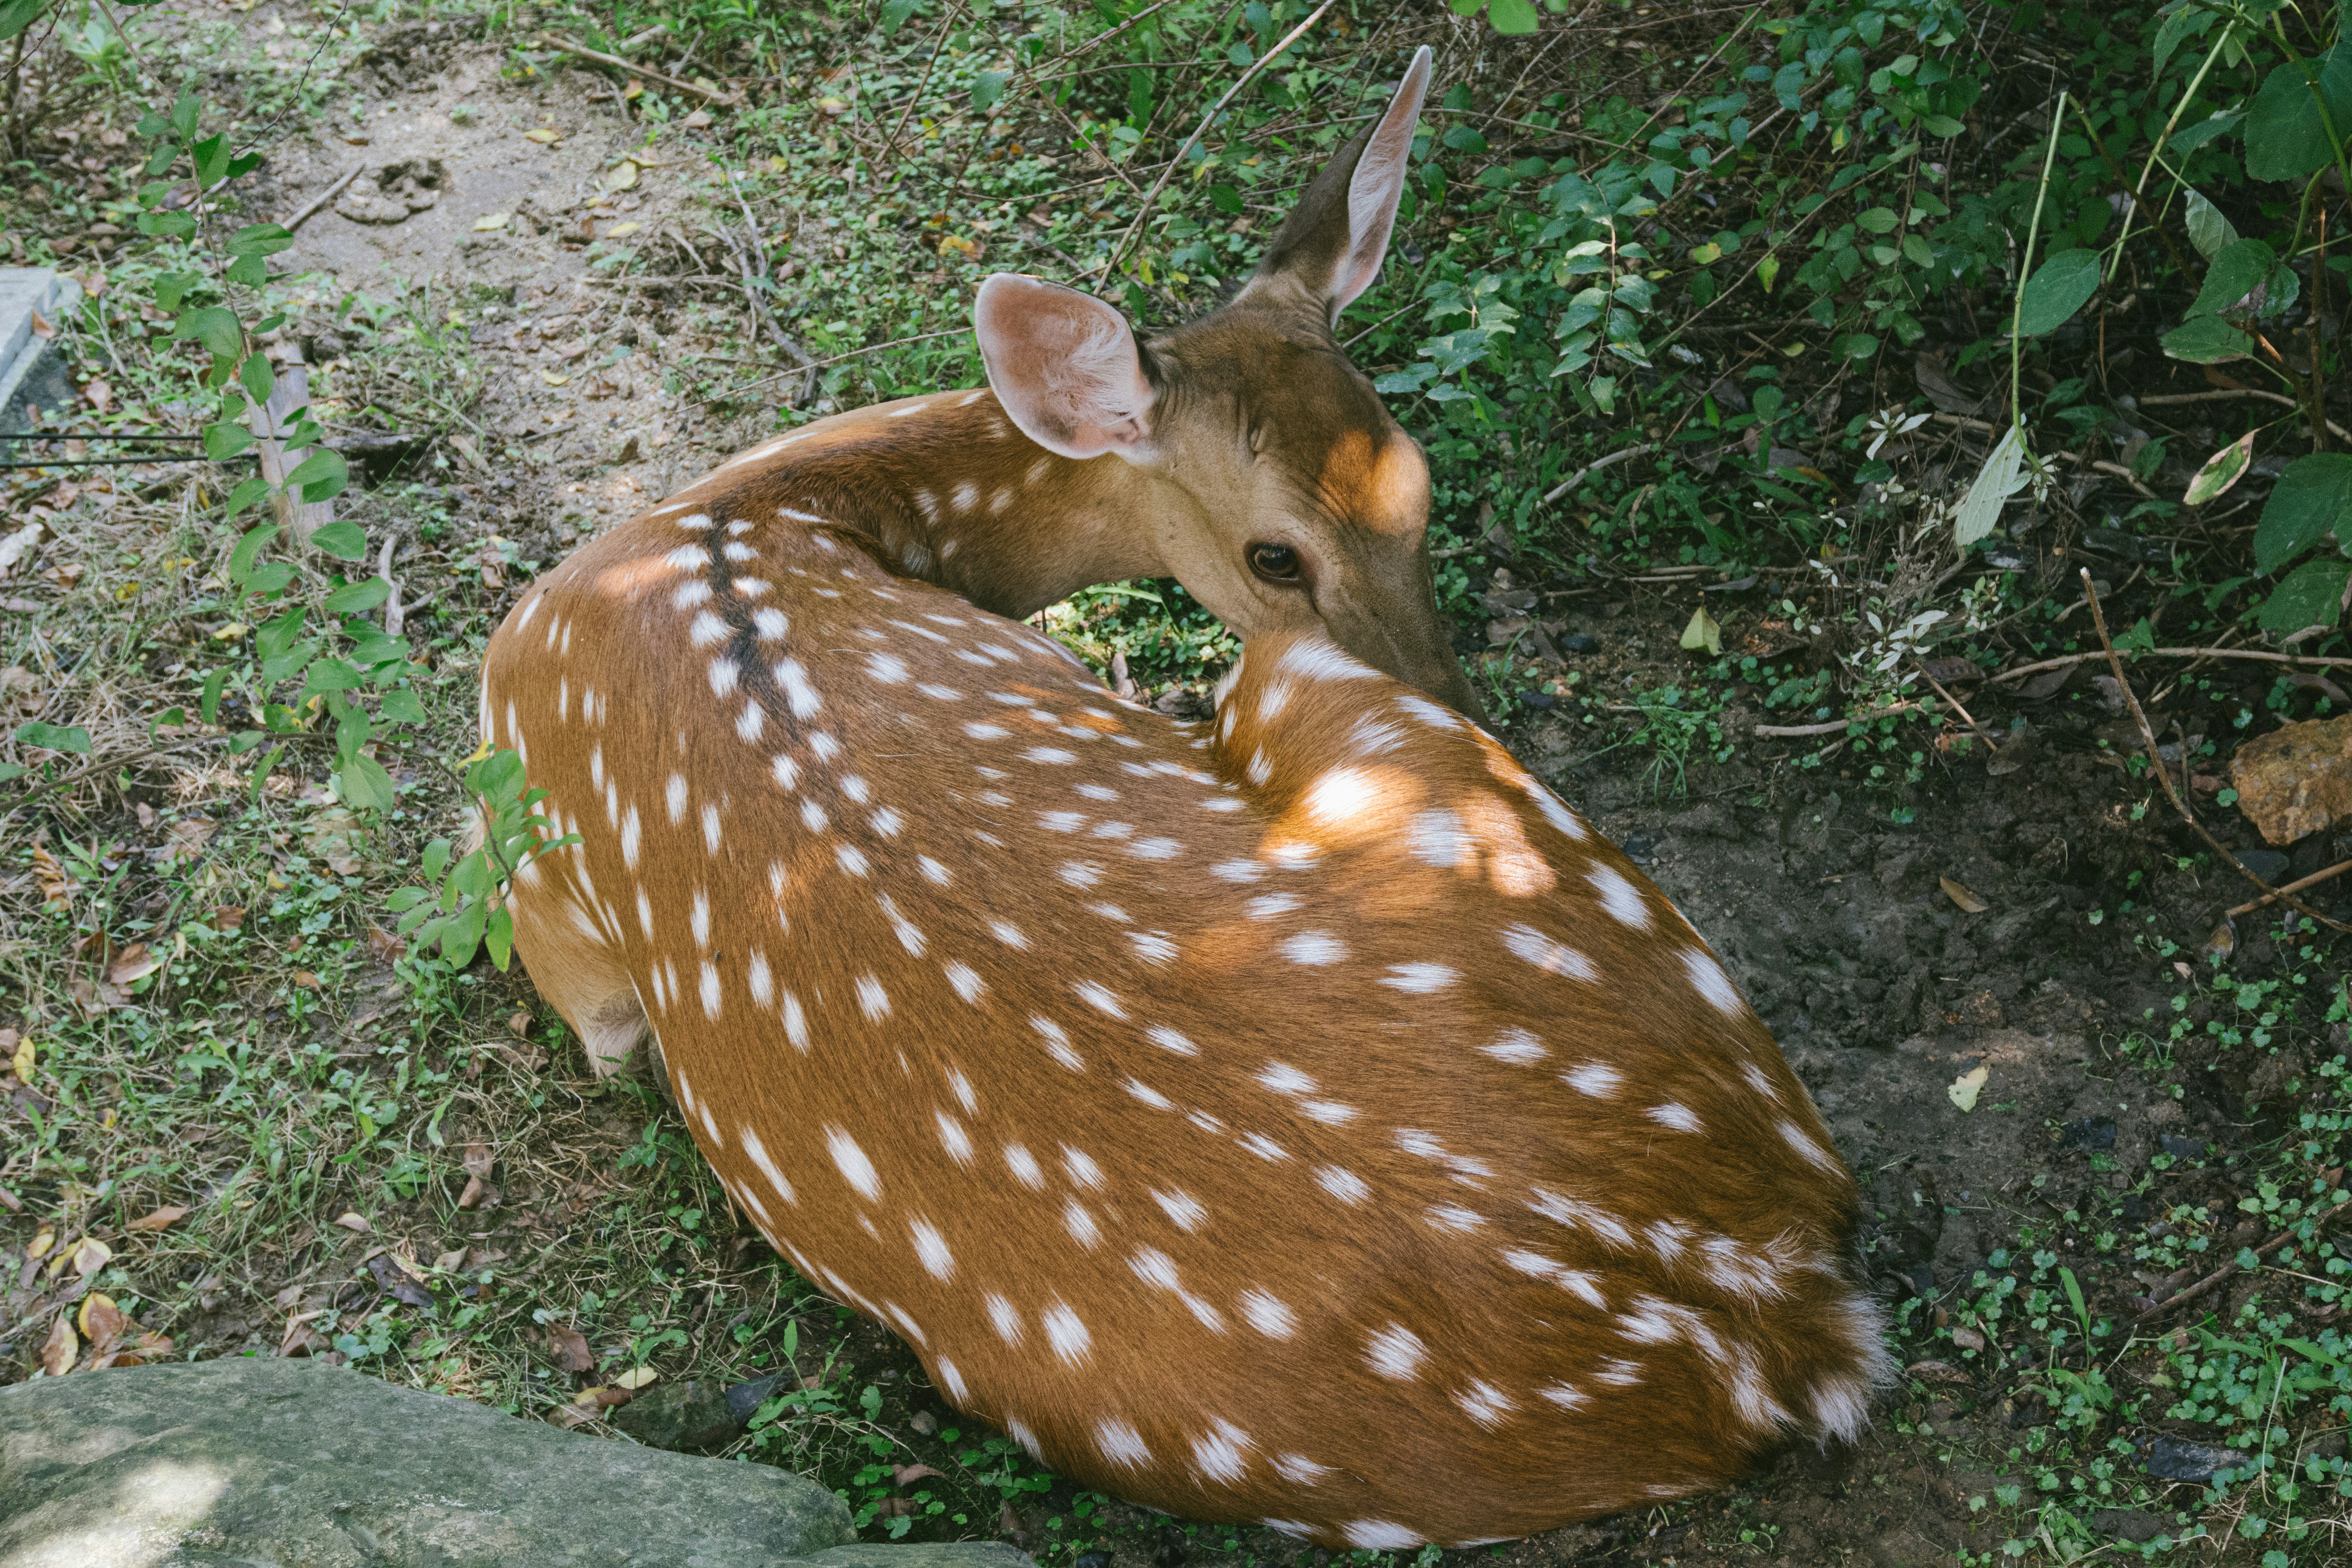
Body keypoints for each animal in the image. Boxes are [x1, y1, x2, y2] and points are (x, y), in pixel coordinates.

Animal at [479, 46, 1888, 1548]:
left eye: (1420, 481)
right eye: (1274, 551)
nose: (1459, 696)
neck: (737, 517)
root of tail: (1769, 1315)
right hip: (1310, 695)